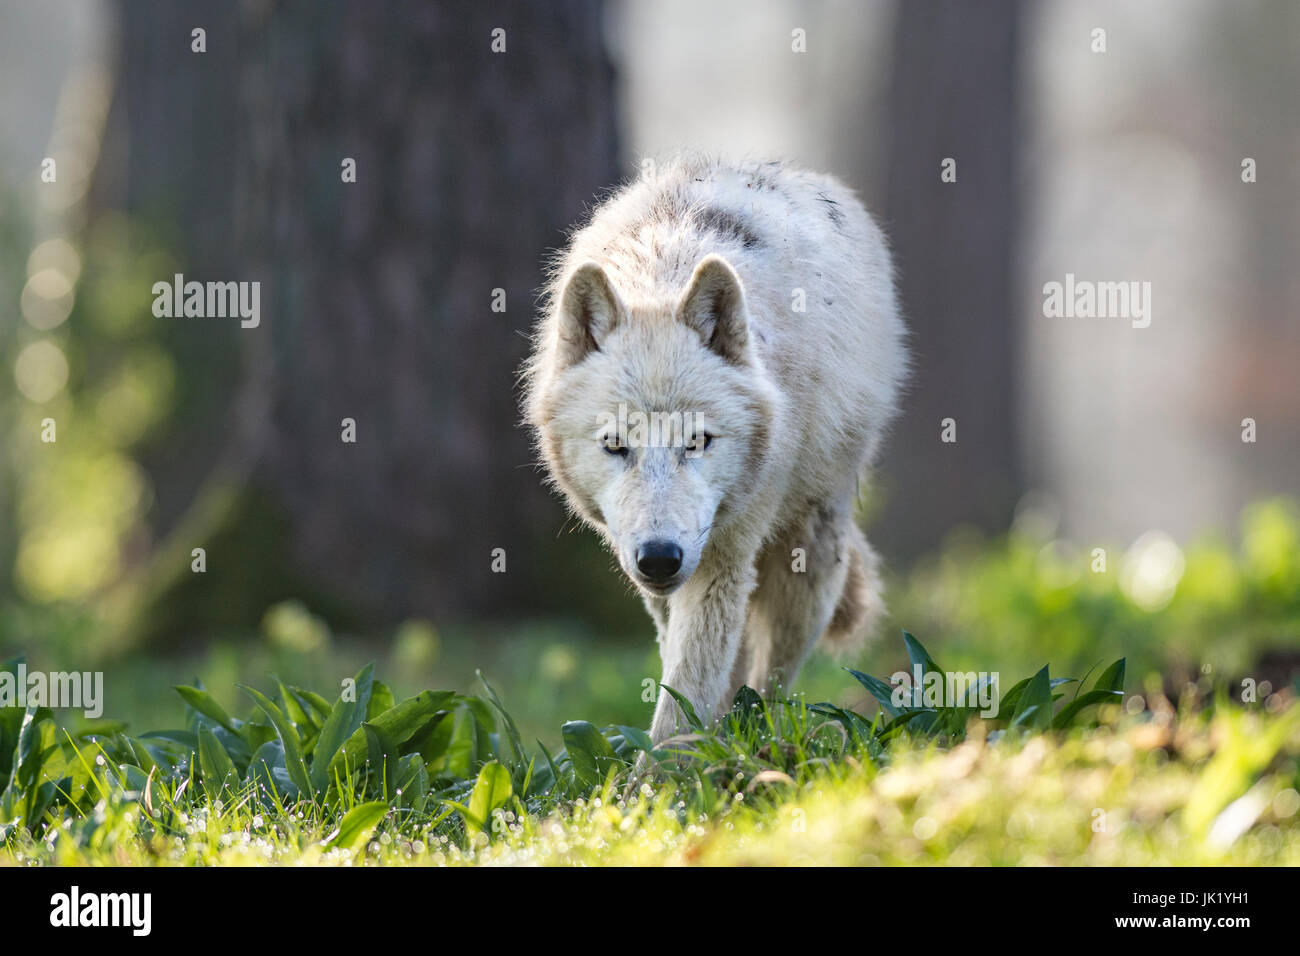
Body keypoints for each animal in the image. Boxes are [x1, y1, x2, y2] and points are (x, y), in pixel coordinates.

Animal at [524, 154, 907, 744]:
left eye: (698, 441)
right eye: (615, 444)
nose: (660, 558)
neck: (662, 275)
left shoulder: (723, 554)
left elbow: (684, 692)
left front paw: (666, 767)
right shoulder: (664, 570)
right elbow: (684, 668)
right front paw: (690, 752)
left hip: (810, 547)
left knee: (772, 675)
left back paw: (760, 738)